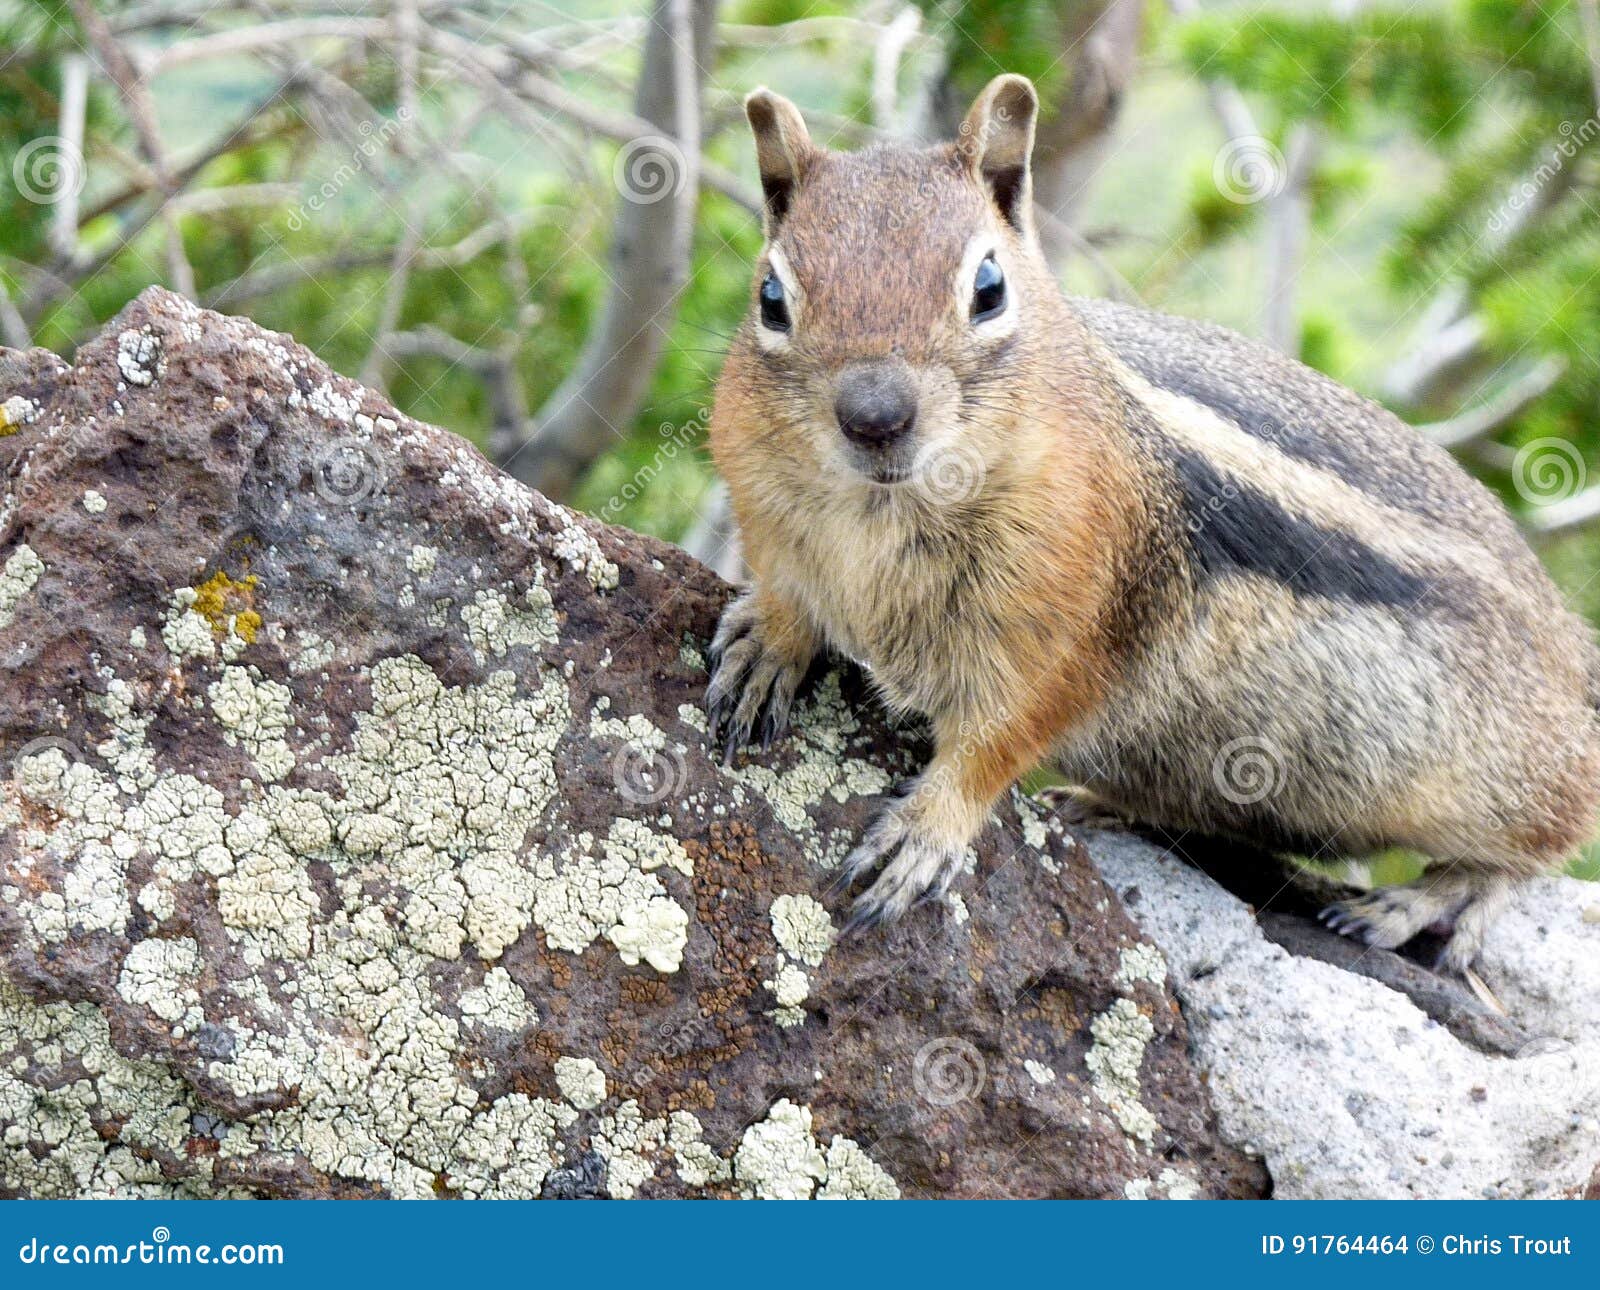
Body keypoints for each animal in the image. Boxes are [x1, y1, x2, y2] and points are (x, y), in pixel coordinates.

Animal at [704, 73, 1600, 972]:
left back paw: (1424, 899)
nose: (875, 414)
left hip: (1484, 776)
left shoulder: (1076, 620)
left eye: (989, 289)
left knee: (1540, 843)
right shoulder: (766, 516)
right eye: (771, 298)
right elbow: (785, 595)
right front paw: (767, 644)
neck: (878, 510)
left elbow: (1000, 739)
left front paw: (926, 832)